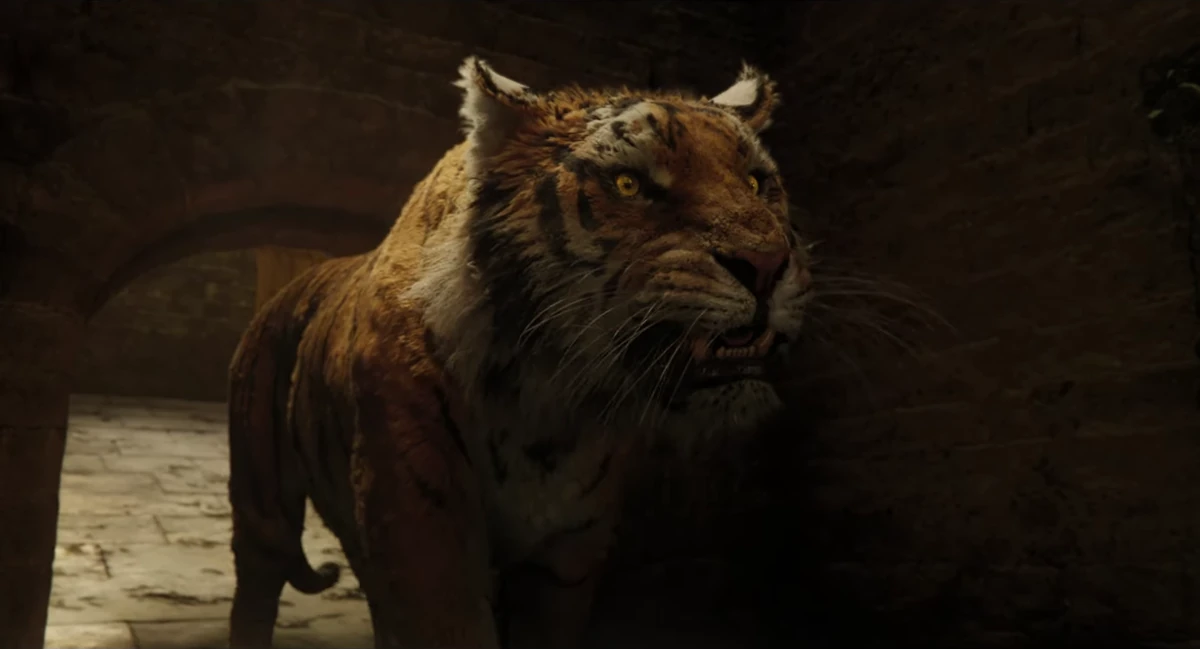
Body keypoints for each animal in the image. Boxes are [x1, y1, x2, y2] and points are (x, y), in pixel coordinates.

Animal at [226, 56, 813, 649]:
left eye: (758, 182)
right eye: (629, 184)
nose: (767, 263)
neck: (546, 404)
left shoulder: (567, 557)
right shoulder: (423, 532)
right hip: (262, 504)